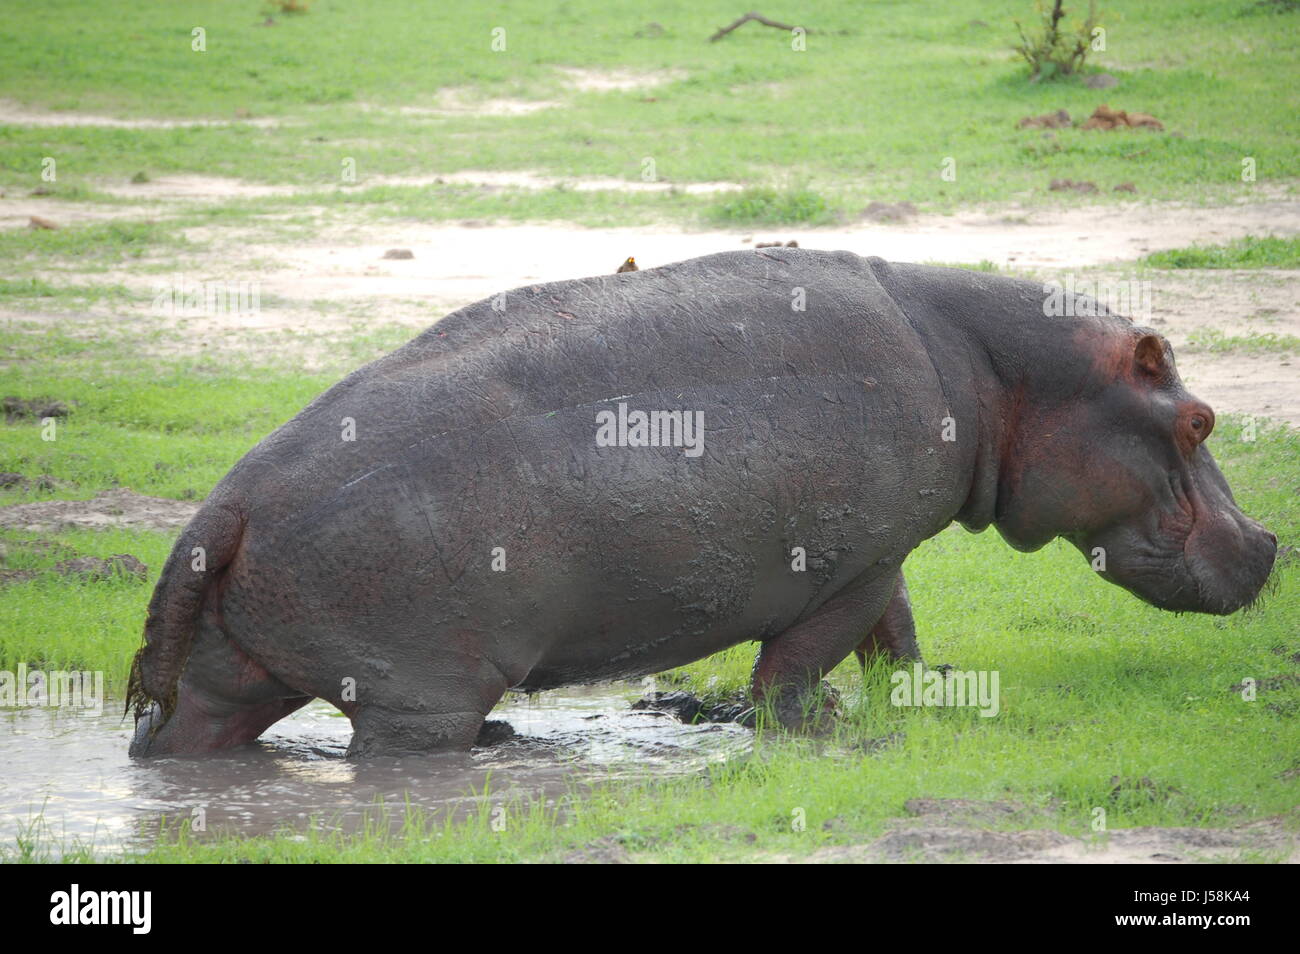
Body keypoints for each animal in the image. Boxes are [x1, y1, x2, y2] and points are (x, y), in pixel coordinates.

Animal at [127, 250, 1276, 757]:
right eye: (1200, 419)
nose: (1270, 540)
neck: (1008, 376)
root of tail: (225, 503)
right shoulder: (856, 562)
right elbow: (803, 663)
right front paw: (810, 730)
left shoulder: (881, 554)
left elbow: (895, 635)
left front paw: (923, 692)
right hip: (422, 691)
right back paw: (499, 748)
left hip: (238, 667)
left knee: (191, 732)